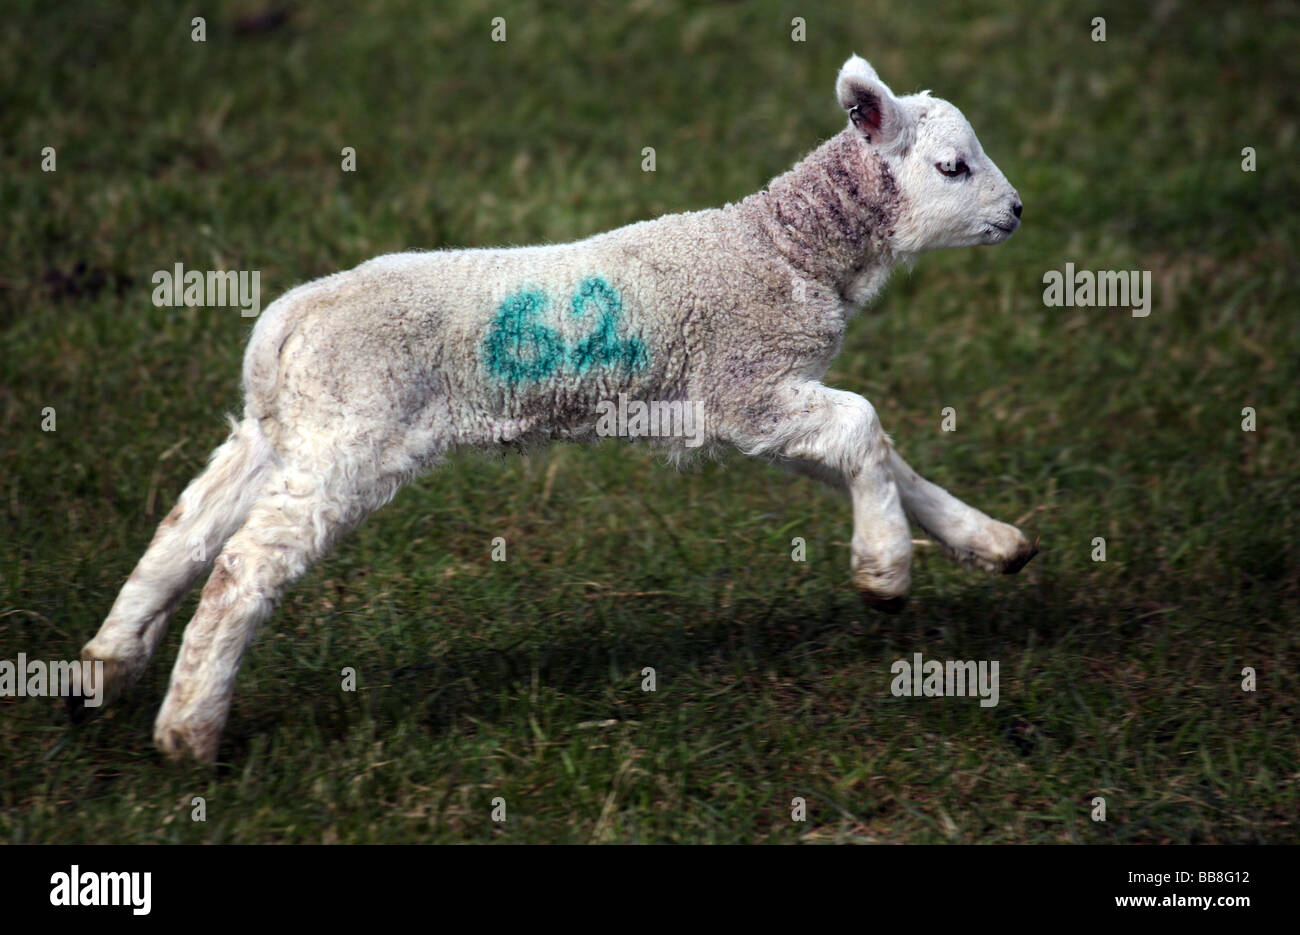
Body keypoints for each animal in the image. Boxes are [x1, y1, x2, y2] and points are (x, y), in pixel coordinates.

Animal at [73, 54, 1038, 762]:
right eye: (952, 168)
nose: (1020, 210)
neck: (783, 243)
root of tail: (283, 326)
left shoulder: (760, 408)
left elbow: (880, 453)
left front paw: (989, 541)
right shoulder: (746, 382)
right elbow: (865, 424)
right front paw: (885, 573)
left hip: (286, 432)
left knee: (185, 529)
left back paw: (107, 666)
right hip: (349, 433)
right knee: (244, 565)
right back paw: (188, 730)